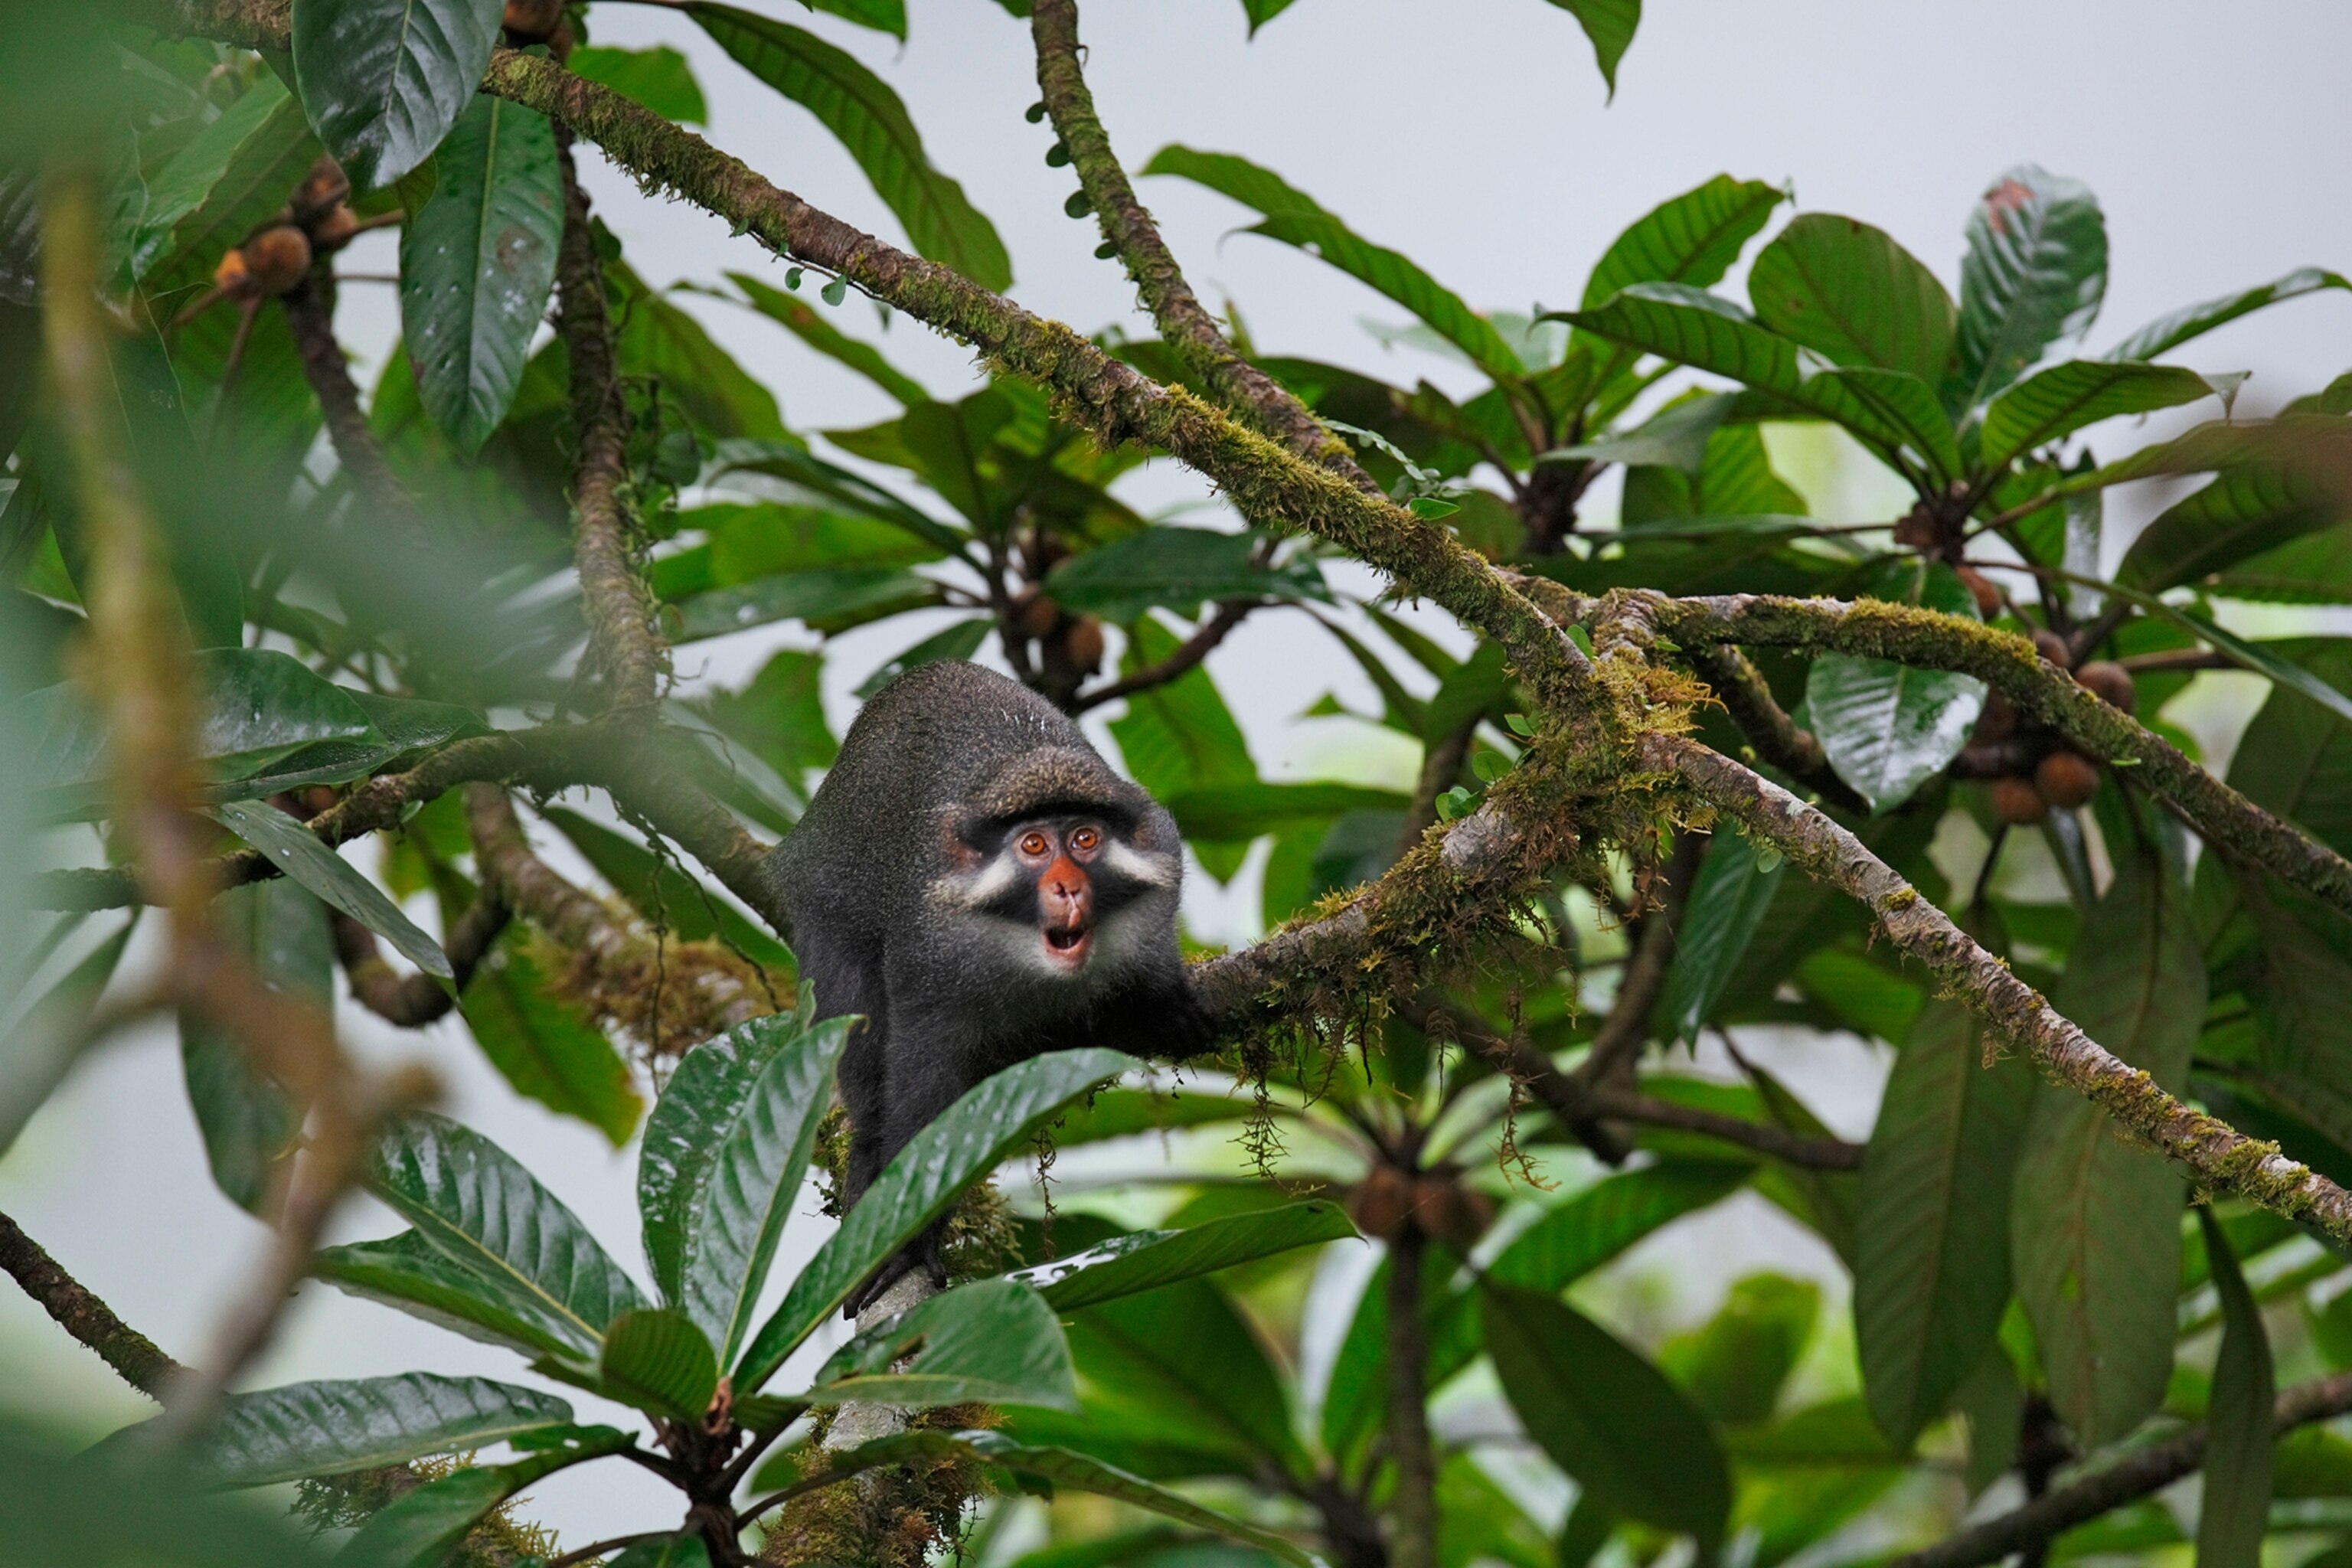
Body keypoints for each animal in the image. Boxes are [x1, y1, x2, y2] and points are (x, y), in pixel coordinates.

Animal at [770, 660, 1213, 1313]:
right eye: (1034, 846)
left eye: (1084, 840)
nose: (1067, 887)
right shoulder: (932, 954)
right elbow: (922, 1094)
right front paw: (904, 1245)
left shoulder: (1159, 876)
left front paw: (1169, 1001)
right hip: (825, 909)